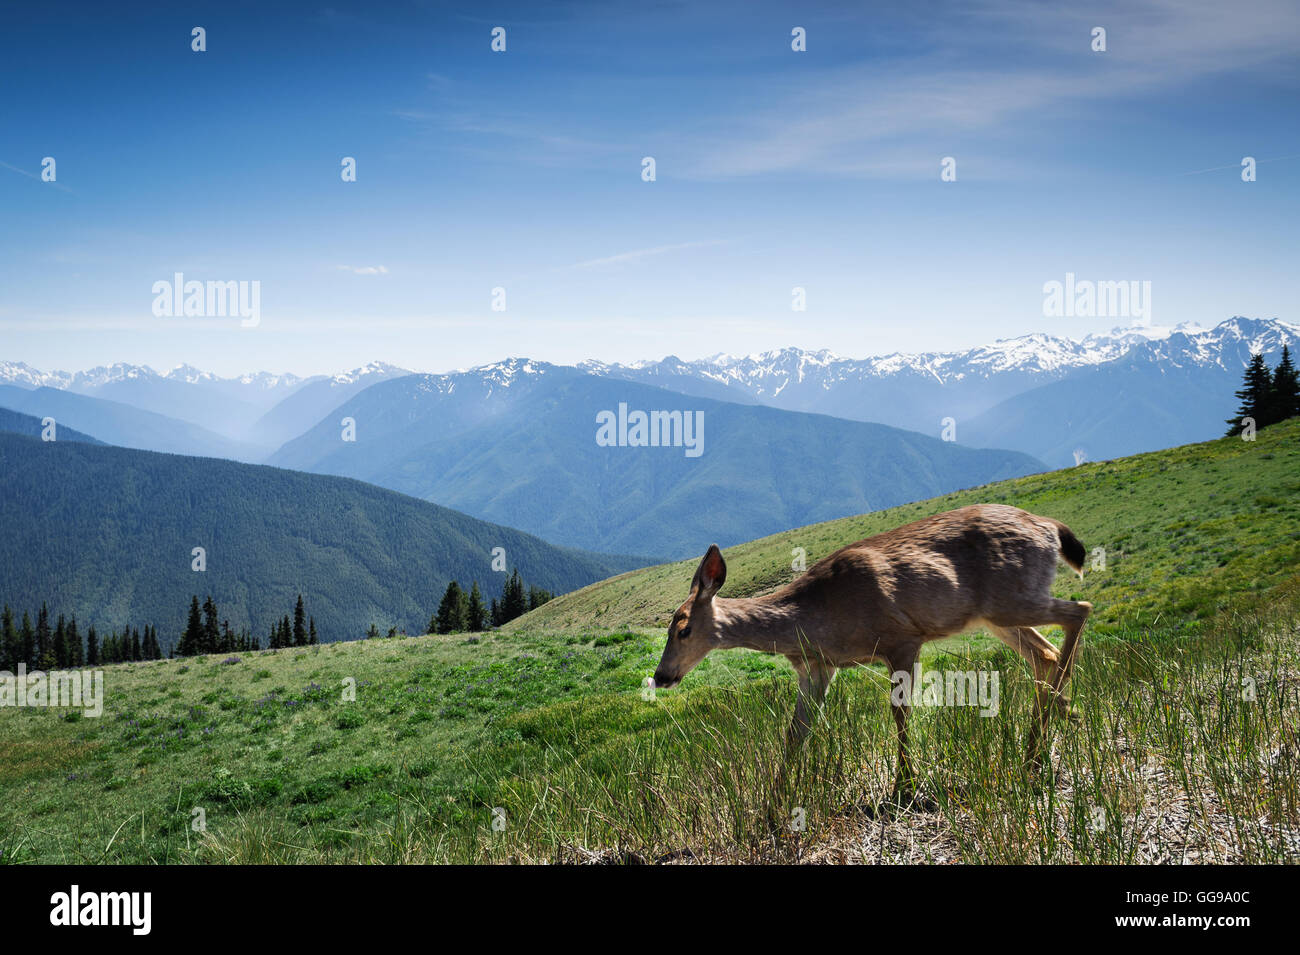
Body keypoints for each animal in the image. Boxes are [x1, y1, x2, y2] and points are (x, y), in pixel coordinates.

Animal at [651, 503, 1092, 802]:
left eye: (684, 629)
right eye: (669, 628)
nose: (661, 676)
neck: (811, 618)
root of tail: (1050, 527)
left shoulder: (901, 639)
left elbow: (900, 715)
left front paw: (905, 789)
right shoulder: (817, 666)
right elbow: (795, 734)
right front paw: (772, 811)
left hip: (1012, 598)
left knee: (1079, 611)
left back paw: (1059, 719)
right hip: (996, 614)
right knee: (1044, 652)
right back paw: (1038, 748)